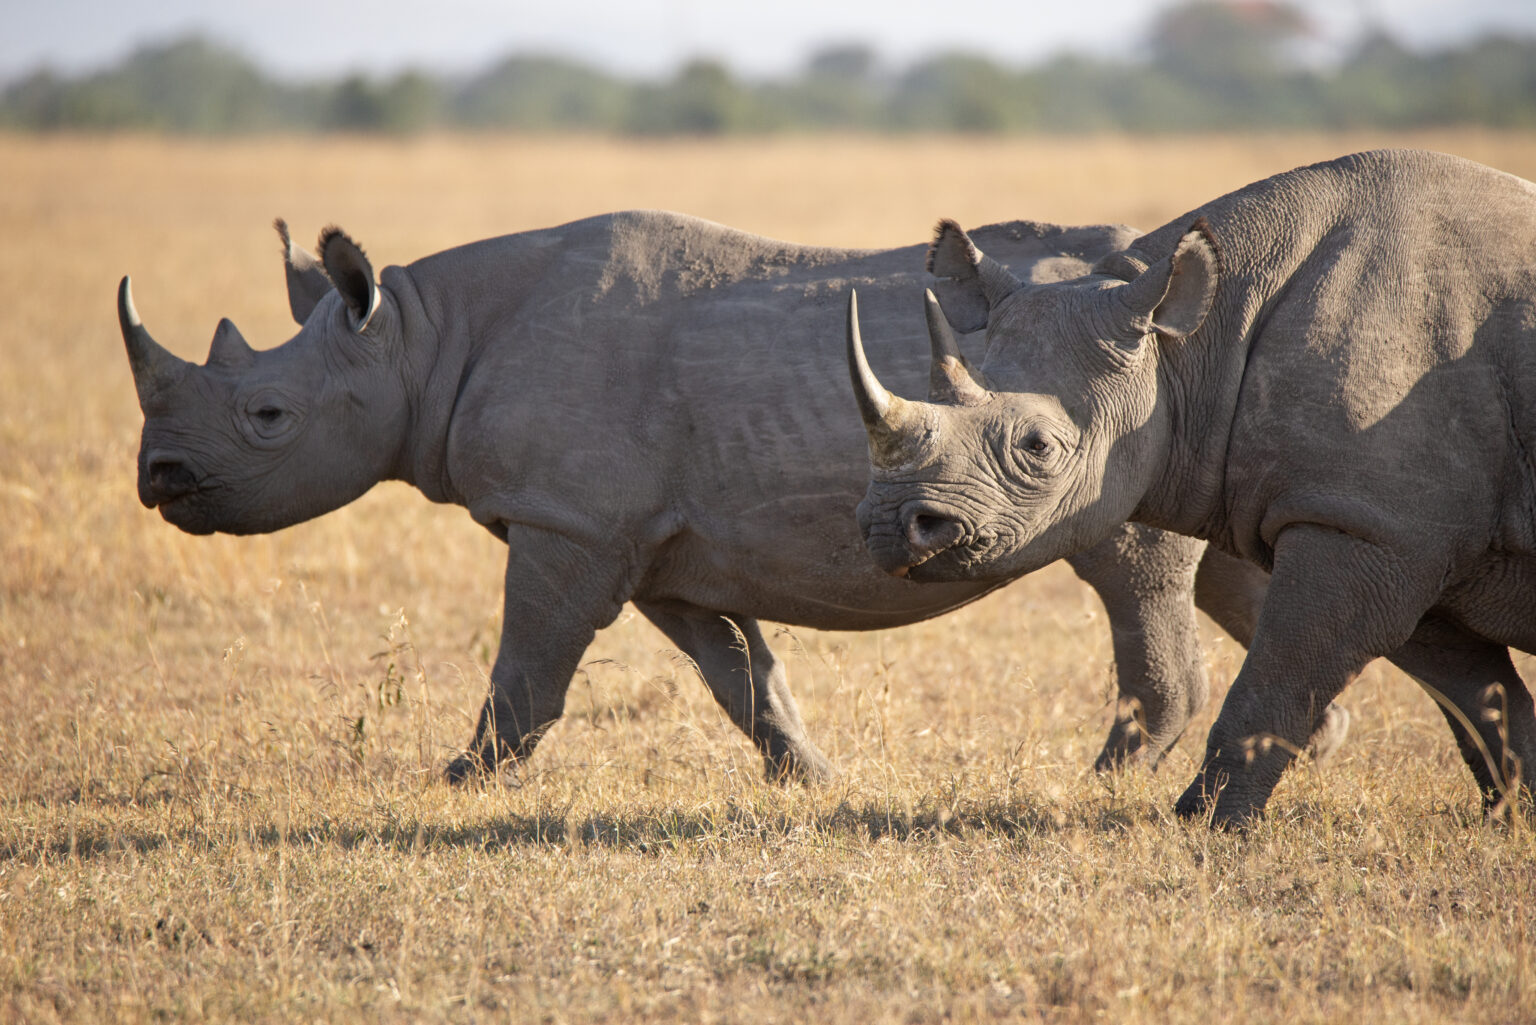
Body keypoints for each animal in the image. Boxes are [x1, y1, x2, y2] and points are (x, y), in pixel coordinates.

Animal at [119, 210, 1332, 784]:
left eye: (267, 415)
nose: (158, 480)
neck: (417, 337)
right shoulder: (659, 543)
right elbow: (743, 675)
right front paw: (815, 780)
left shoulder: (567, 522)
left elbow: (528, 666)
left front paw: (458, 781)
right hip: (1187, 414)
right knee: (1233, 562)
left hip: (1111, 415)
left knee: (1137, 569)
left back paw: (1095, 786)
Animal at [847, 149, 1536, 825]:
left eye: (1038, 447)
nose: (887, 529)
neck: (1194, 347)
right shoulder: (1401, 534)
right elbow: (1483, 702)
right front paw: (1515, 817)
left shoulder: (1363, 524)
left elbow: (1281, 676)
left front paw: (1204, 823)